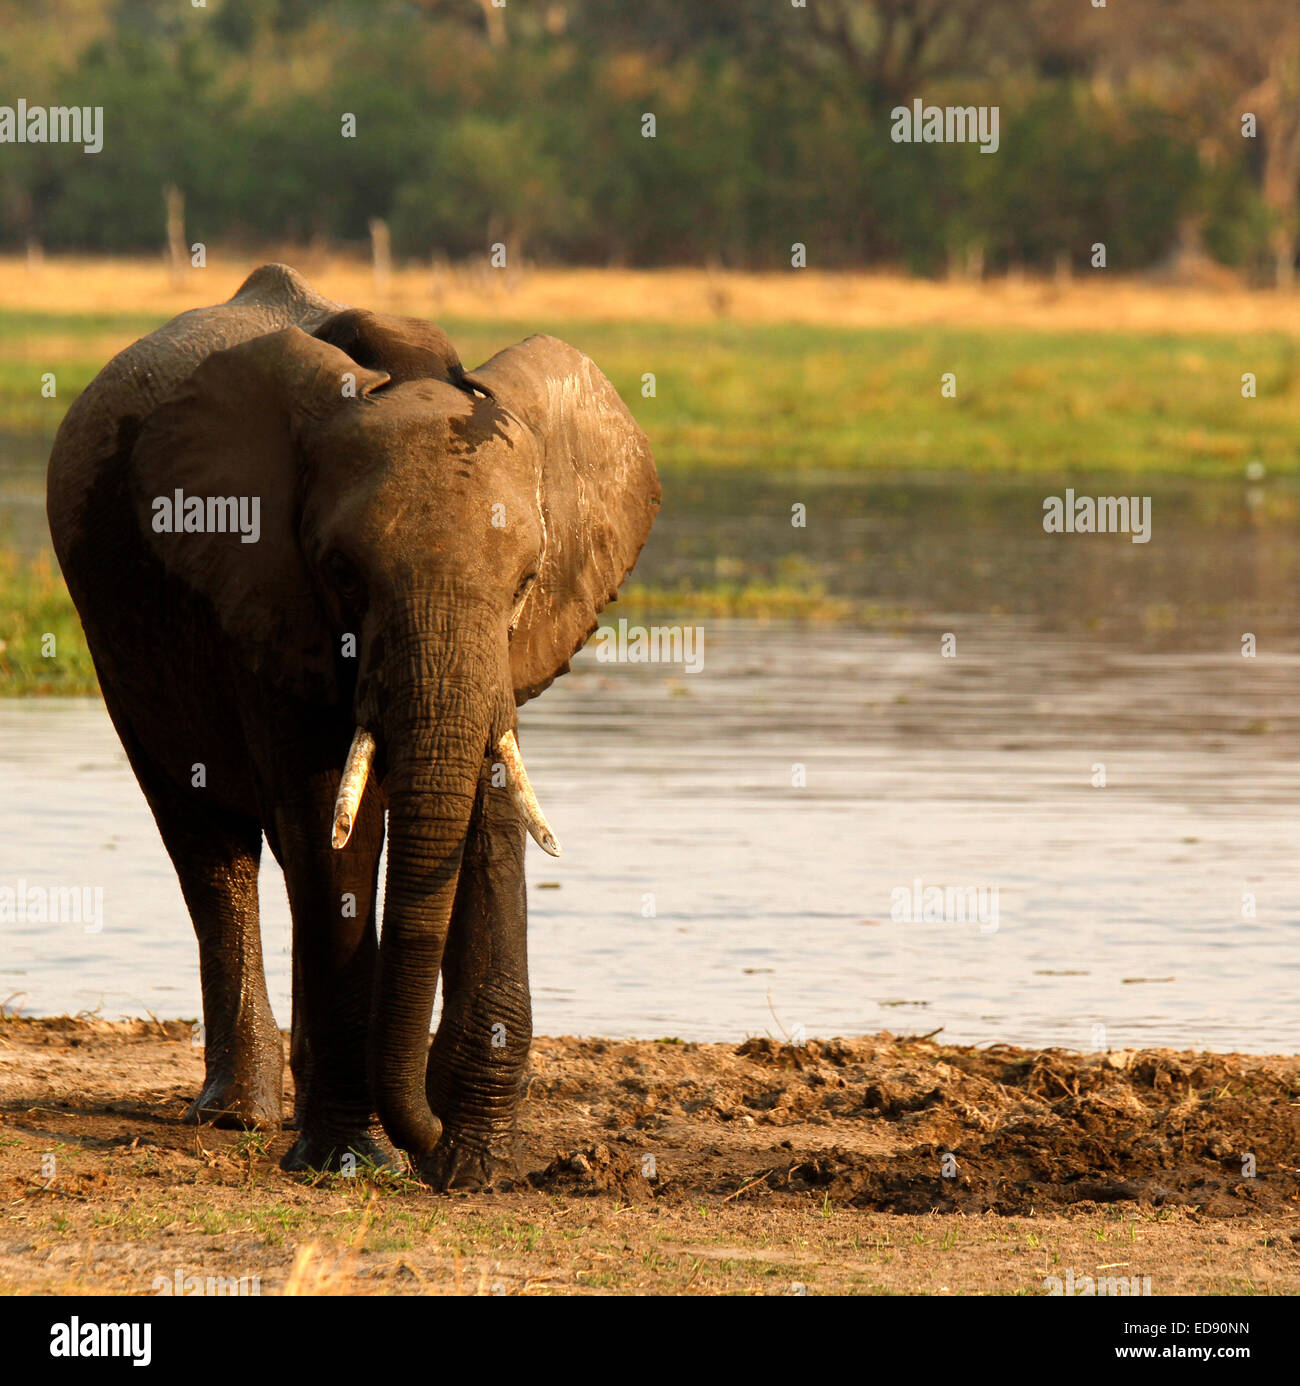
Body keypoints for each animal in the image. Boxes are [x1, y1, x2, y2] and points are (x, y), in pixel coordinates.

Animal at [46, 263, 659, 1189]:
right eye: (341, 572)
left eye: (525, 581)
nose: (429, 1147)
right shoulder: (263, 595)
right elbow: (329, 827)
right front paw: (354, 1161)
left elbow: (490, 811)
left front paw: (473, 1165)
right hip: (115, 642)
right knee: (207, 846)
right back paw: (239, 1115)